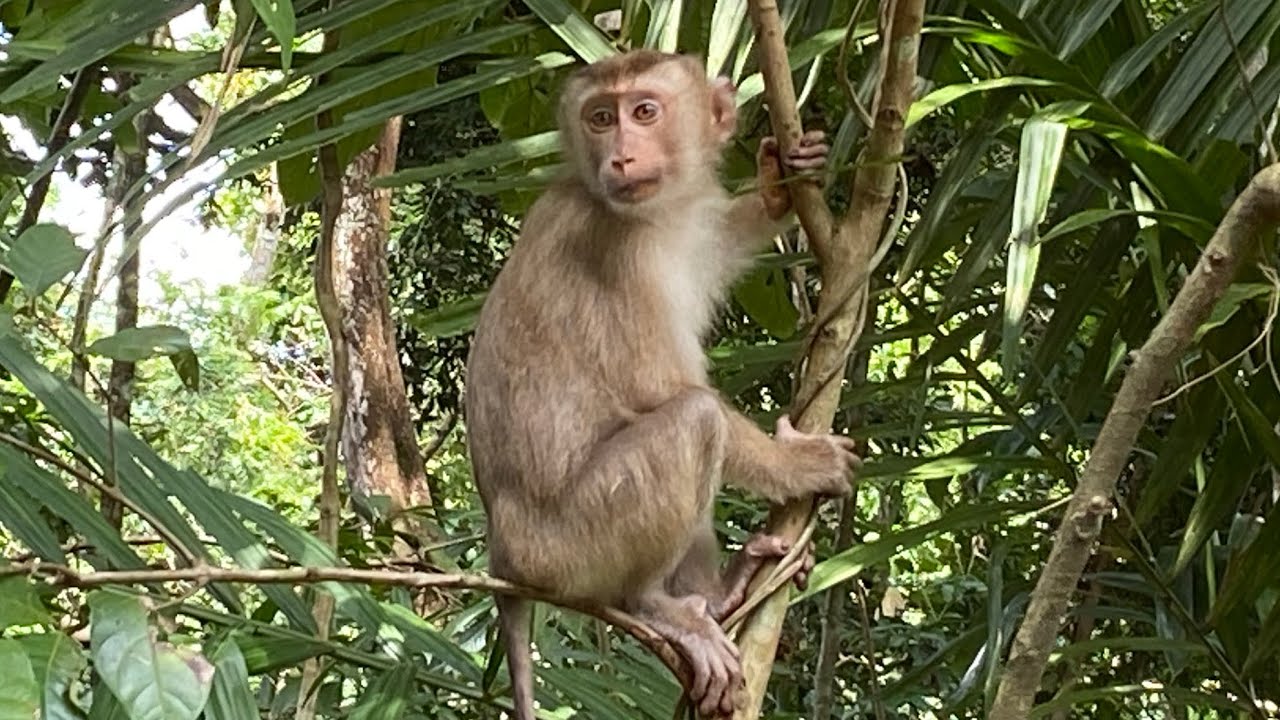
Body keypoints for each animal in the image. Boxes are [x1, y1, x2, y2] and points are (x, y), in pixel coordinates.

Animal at [464, 50, 859, 719]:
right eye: (601, 118)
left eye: (643, 111)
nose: (620, 156)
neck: (653, 212)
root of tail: (503, 557)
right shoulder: (617, 251)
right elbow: (663, 390)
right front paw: (797, 462)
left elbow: (722, 245)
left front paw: (781, 180)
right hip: (569, 547)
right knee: (694, 422)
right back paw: (652, 604)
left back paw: (722, 594)